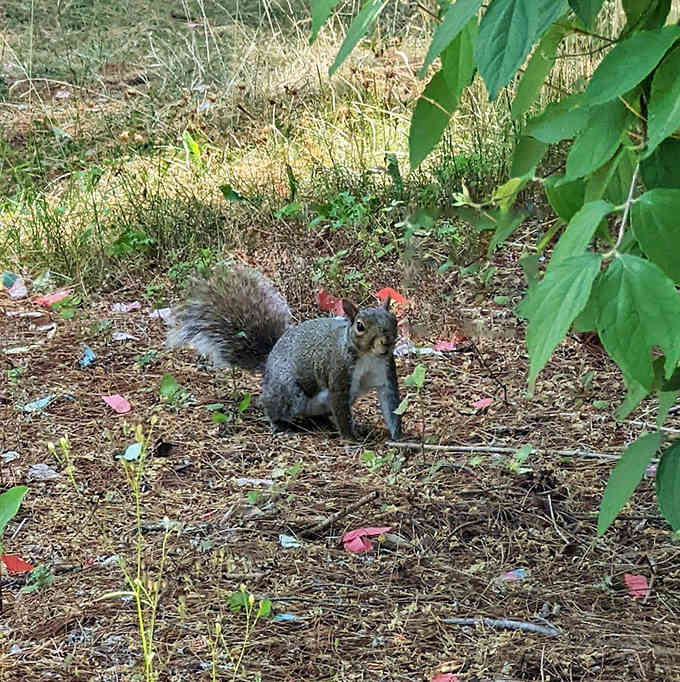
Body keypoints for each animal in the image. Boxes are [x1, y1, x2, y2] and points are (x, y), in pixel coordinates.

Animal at [167, 264, 402, 441]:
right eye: (360, 326)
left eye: (394, 320)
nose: (387, 341)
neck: (368, 357)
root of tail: (270, 358)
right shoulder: (339, 374)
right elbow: (342, 410)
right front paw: (350, 439)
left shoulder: (386, 371)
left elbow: (392, 405)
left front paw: (398, 438)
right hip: (288, 392)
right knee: (274, 407)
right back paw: (280, 425)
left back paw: (325, 422)